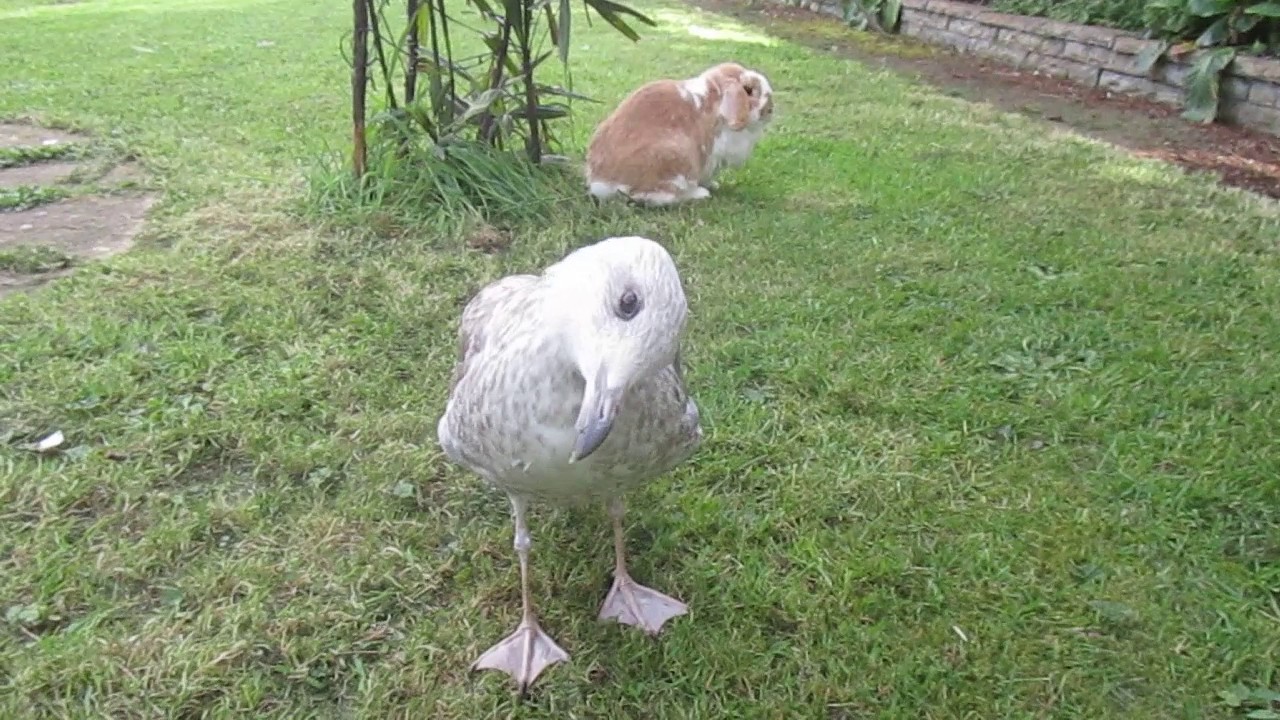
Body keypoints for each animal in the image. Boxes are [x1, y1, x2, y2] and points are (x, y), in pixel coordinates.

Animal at [585, 62, 774, 207]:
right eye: (749, 90)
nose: (771, 109)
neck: (716, 99)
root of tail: (603, 183)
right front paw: (709, 187)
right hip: (675, 160)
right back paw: (700, 194)